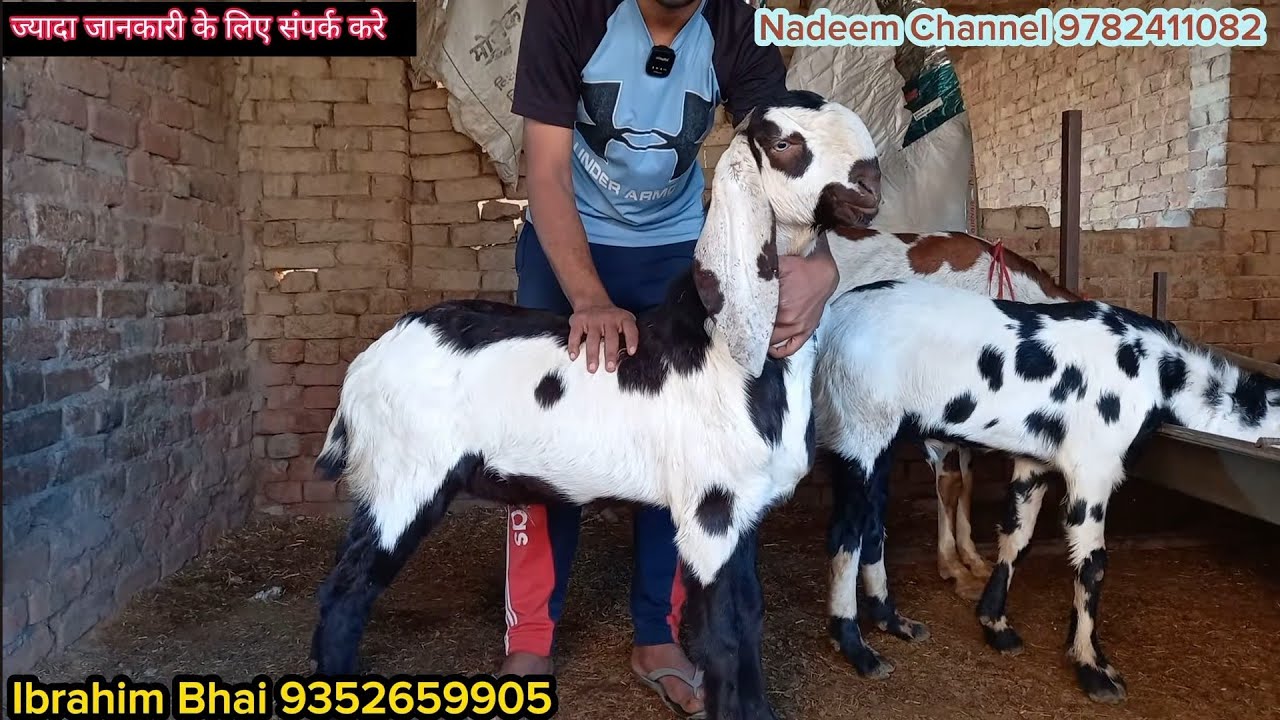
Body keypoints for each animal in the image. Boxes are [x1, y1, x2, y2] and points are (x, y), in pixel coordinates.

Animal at [812, 277, 1280, 702]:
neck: (1153, 370)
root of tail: (834, 319)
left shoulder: (1033, 463)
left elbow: (1017, 539)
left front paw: (995, 625)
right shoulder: (1093, 471)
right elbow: (1092, 563)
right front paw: (1093, 668)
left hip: (880, 447)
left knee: (873, 529)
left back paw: (893, 622)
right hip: (859, 440)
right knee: (845, 537)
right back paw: (858, 649)